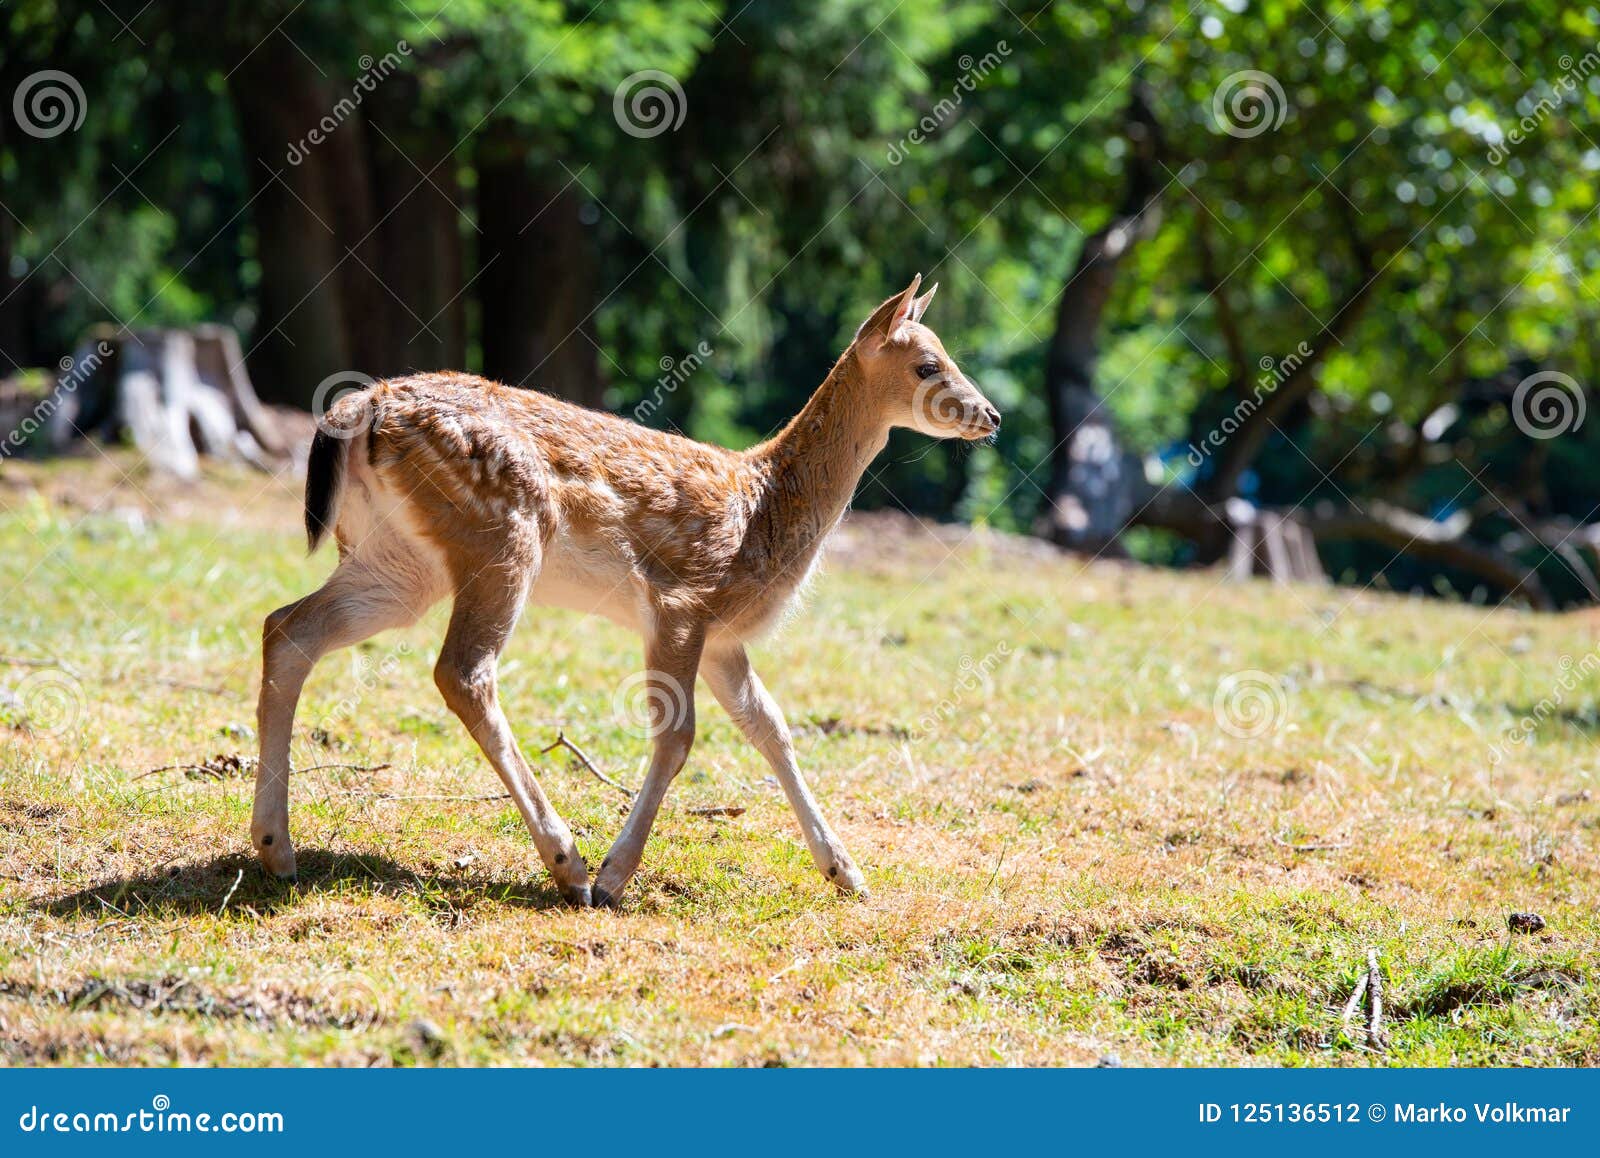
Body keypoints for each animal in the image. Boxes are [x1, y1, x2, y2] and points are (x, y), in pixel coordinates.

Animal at [252, 275, 1000, 907]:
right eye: (928, 365)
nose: (990, 415)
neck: (763, 506)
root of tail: (362, 405)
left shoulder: (723, 638)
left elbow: (771, 728)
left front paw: (847, 872)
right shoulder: (681, 603)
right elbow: (680, 735)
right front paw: (616, 875)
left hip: (398, 562)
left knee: (287, 627)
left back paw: (276, 849)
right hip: (501, 533)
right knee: (462, 671)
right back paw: (568, 863)